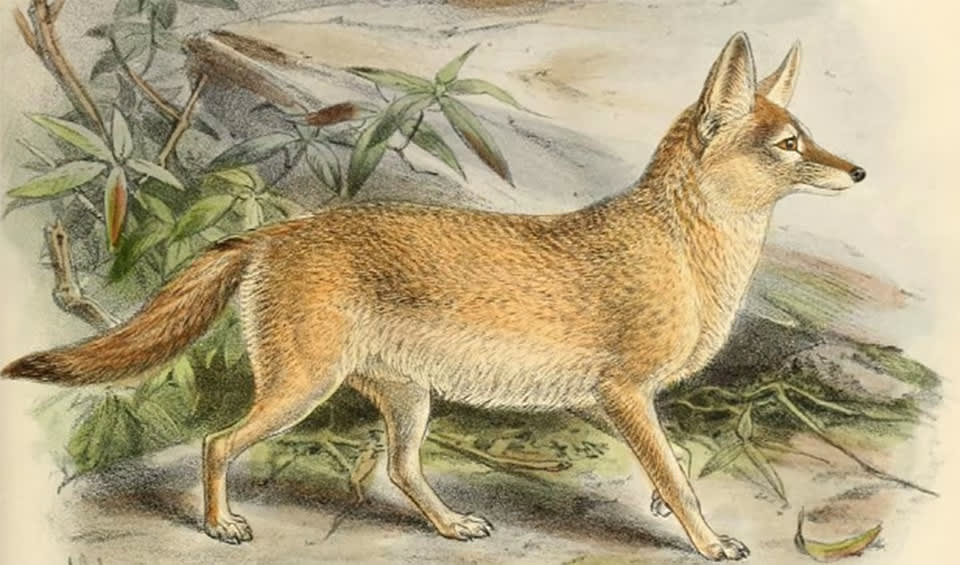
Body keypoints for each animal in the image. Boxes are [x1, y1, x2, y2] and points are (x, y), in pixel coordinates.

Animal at [2, 32, 864, 560]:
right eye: (790, 145)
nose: (858, 172)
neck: (686, 248)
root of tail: (279, 231)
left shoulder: (603, 398)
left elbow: (673, 461)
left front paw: (659, 504)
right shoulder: (623, 392)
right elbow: (681, 477)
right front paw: (707, 539)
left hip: (407, 398)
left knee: (400, 470)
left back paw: (450, 525)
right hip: (302, 388)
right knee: (218, 443)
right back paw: (220, 525)